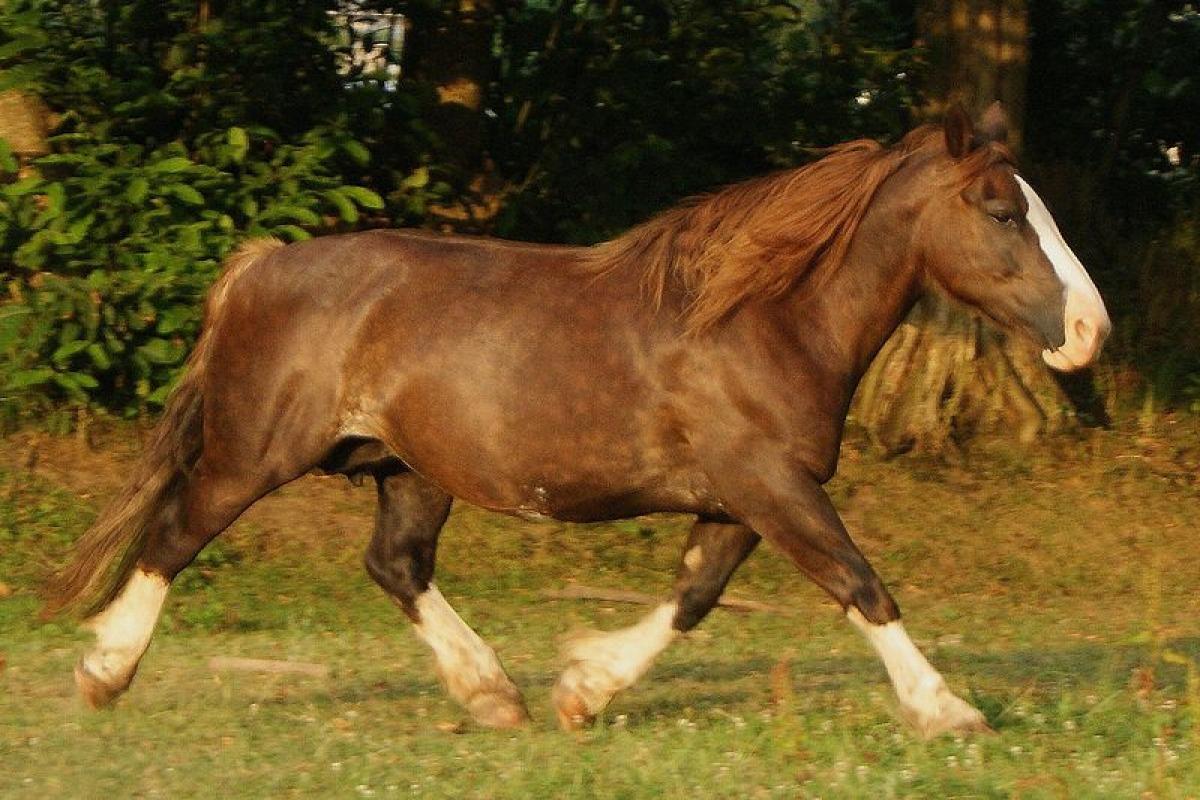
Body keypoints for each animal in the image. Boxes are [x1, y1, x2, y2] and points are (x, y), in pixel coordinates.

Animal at [46, 104, 1109, 737]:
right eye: (999, 211)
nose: (1087, 332)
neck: (766, 316)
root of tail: (262, 264)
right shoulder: (770, 484)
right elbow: (859, 582)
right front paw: (949, 710)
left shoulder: (740, 498)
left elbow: (694, 597)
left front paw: (583, 686)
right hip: (254, 453)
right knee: (174, 533)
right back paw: (103, 671)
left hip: (408, 470)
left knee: (395, 566)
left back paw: (494, 695)